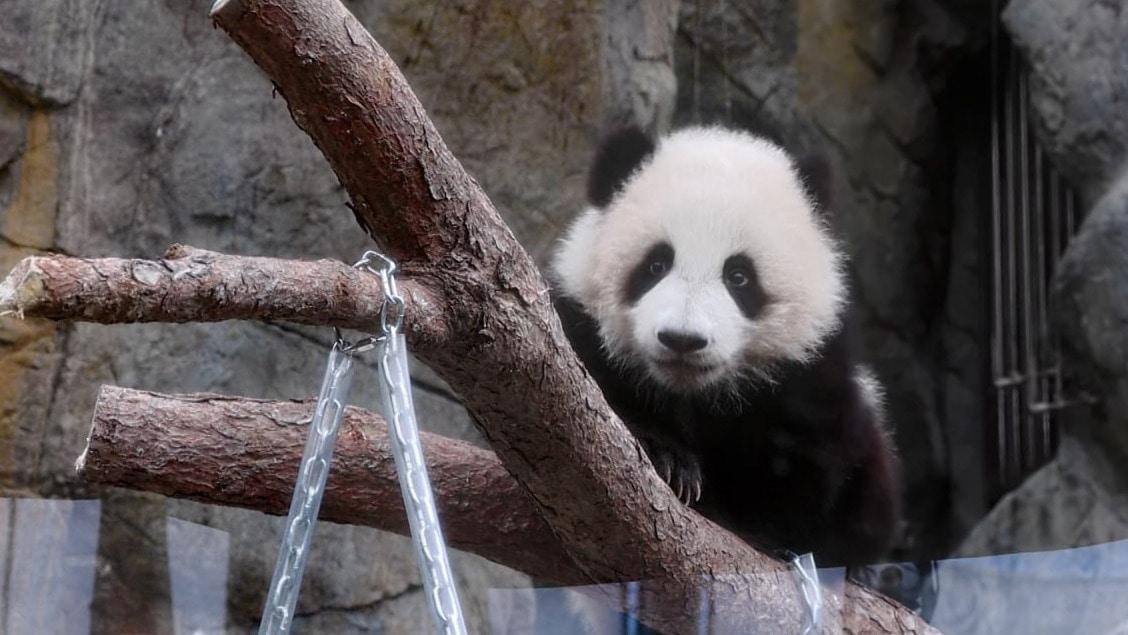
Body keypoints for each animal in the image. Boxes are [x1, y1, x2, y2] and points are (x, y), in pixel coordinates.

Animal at [550, 125, 901, 567]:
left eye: (739, 276)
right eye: (656, 264)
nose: (682, 339)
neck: (694, 393)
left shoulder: (813, 372)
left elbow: (801, 472)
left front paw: (756, 526)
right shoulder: (579, 325)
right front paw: (670, 461)